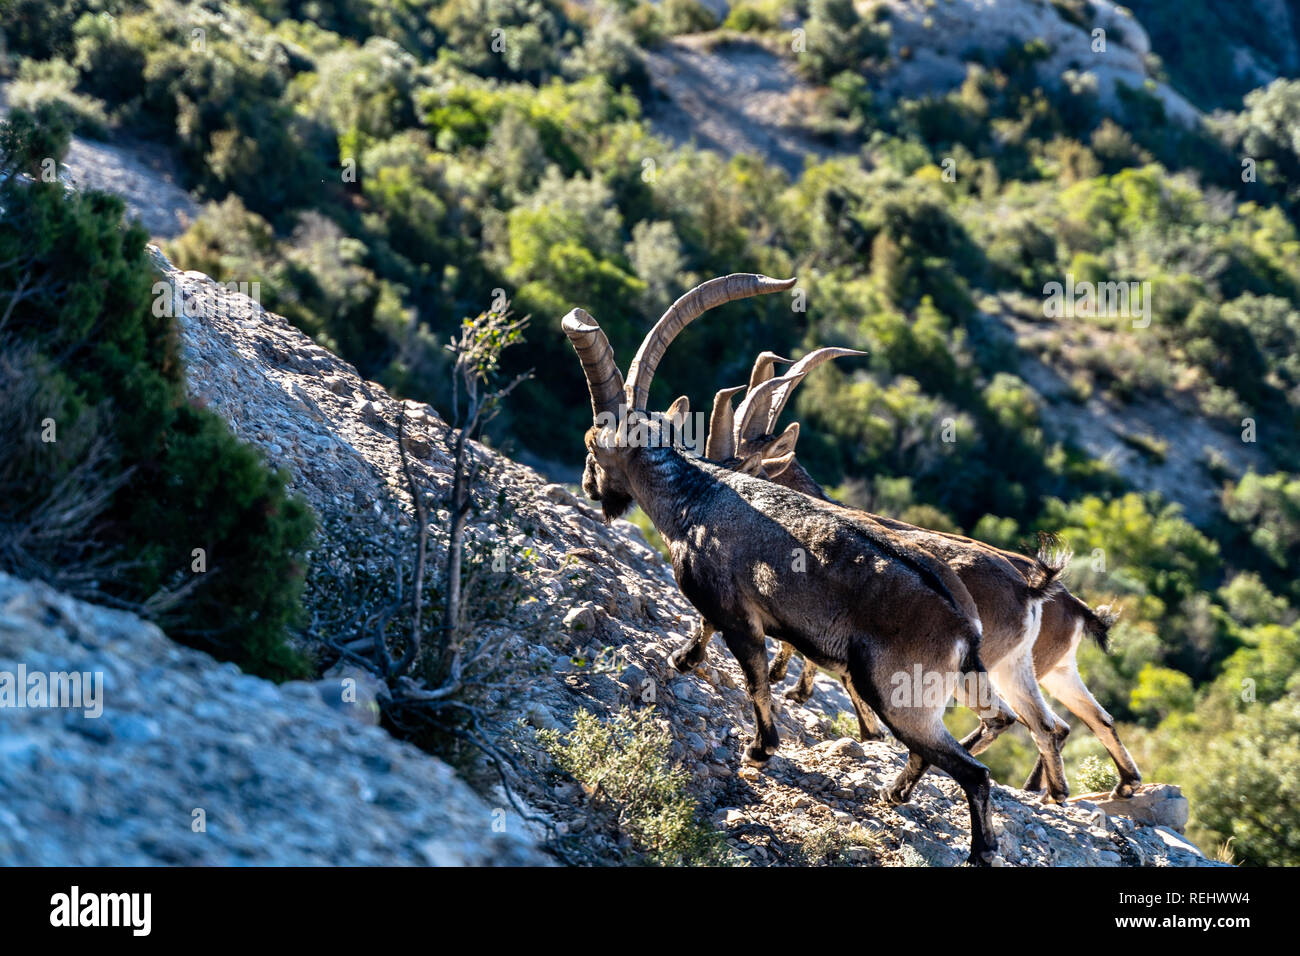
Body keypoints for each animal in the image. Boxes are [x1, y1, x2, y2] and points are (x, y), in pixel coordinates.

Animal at [563, 273, 1012, 863]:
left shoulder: (738, 614)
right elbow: (705, 629)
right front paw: (684, 658)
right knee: (972, 736)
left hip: (899, 694)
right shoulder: (726, 606)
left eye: (593, 443)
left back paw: (977, 847)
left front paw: (759, 749)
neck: (695, 497)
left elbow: (754, 677)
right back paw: (897, 792)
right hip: (946, 691)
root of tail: (964, 624)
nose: (590, 486)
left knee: (973, 771)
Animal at [677, 350, 1141, 799]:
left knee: (997, 723)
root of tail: (1038, 591)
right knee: (1066, 722)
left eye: (744, 465)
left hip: (972, 670)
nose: (707, 497)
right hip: (1035, 668)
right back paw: (1092, 787)